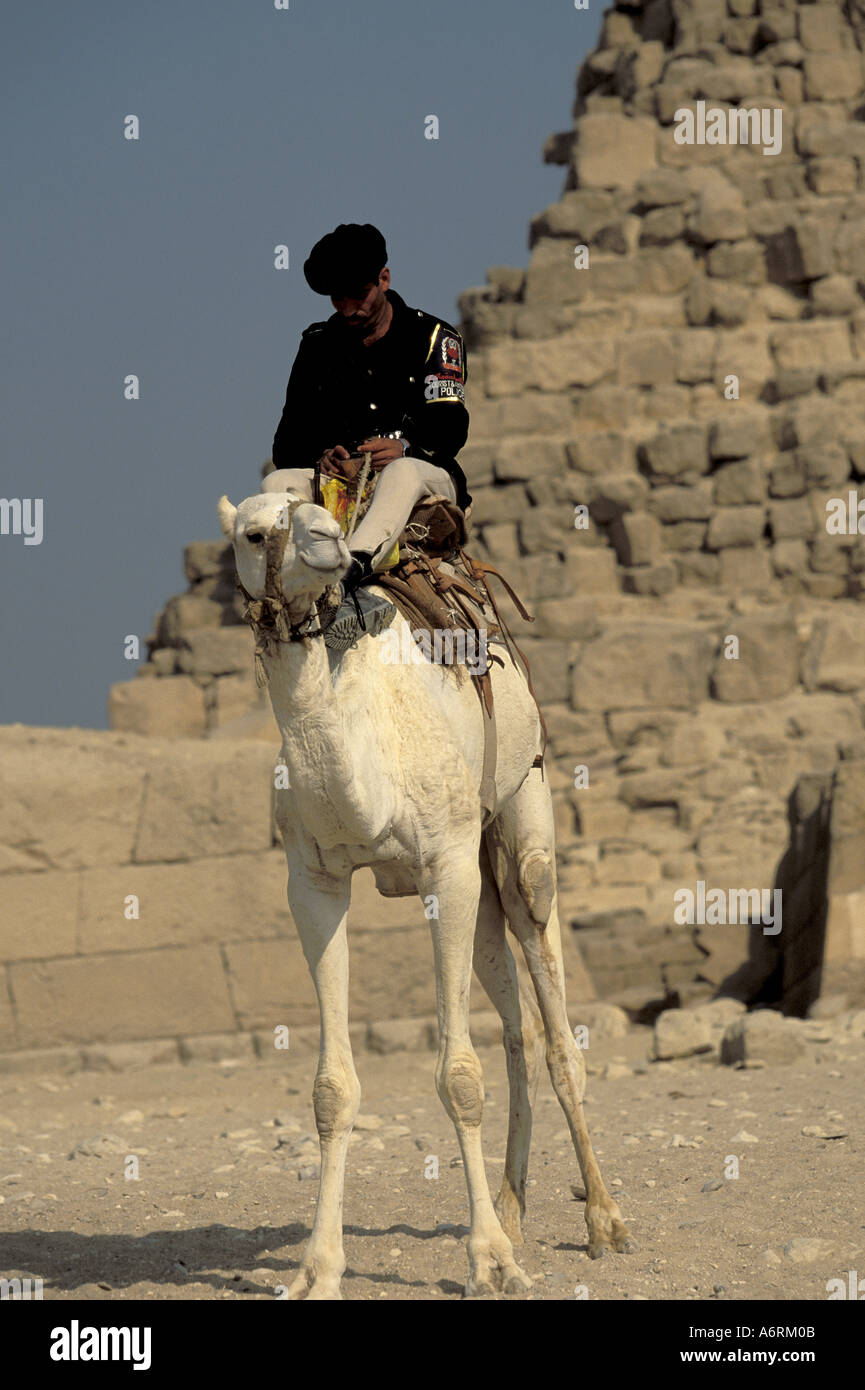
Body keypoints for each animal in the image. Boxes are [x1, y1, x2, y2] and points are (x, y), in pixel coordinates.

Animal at [217, 484, 635, 1299]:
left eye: (317, 512)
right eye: (254, 533)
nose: (329, 544)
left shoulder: (445, 863)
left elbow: (459, 1076)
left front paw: (490, 1262)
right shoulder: (313, 881)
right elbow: (332, 1089)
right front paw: (316, 1269)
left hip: (521, 805)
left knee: (549, 994)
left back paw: (603, 1219)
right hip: (477, 885)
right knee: (514, 1023)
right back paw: (512, 1208)